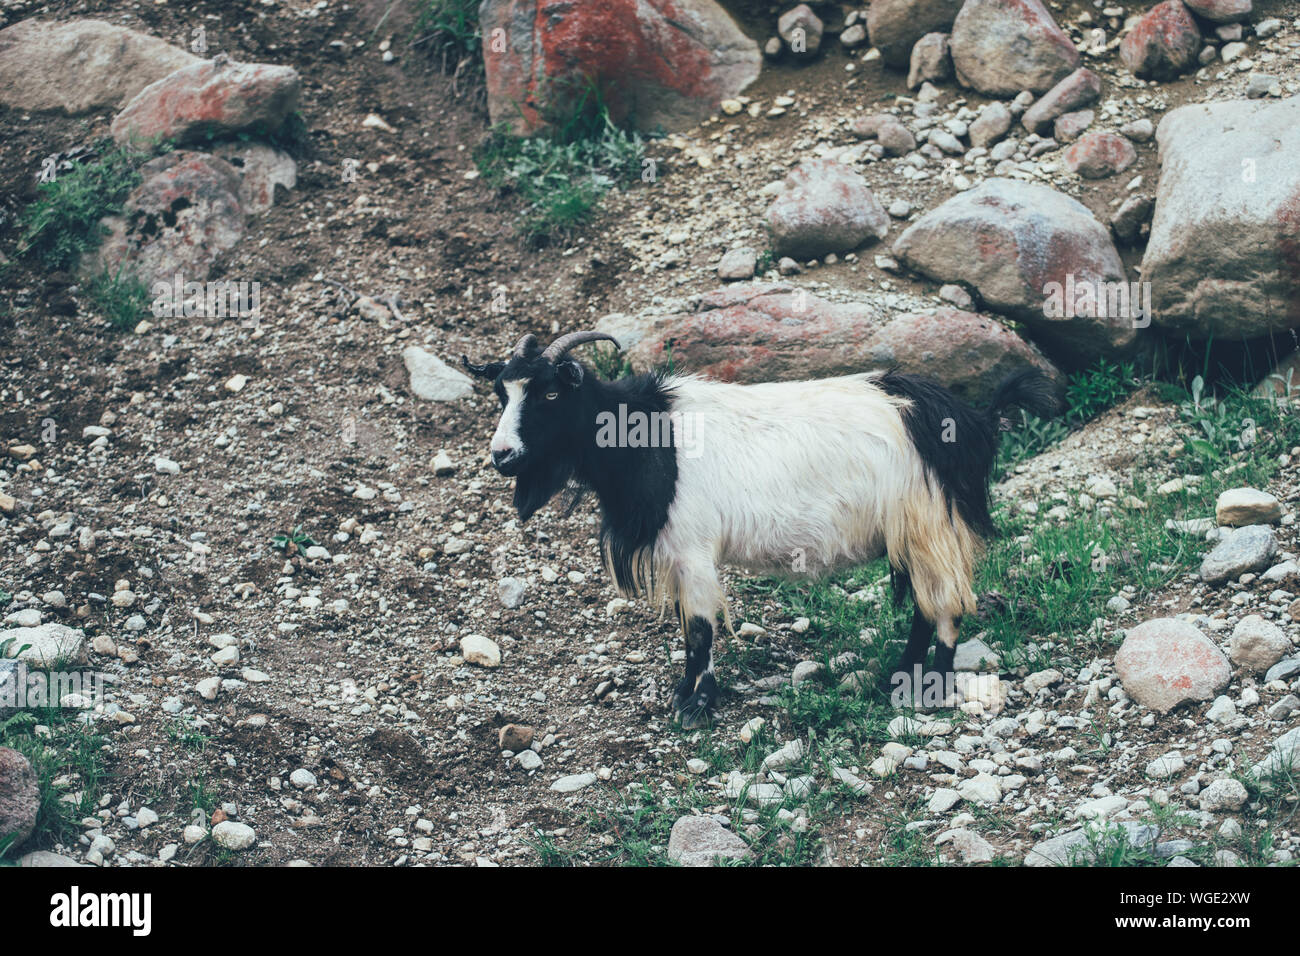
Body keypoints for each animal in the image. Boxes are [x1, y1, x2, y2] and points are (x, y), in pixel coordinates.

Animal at [462, 330, 1058, 727]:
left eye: (551, 394)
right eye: (501, 394)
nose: (502, 456)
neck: (647, 436)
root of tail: (975, 419)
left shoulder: (694, 549)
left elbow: (700, 630)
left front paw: (696, 705)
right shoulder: (677, 554)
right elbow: (687, 625)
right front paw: (685, 694)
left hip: (930, 522)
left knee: (946, 604)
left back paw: (930, 686)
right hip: (912, 534)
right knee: (924, 606)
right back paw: (897, 675)